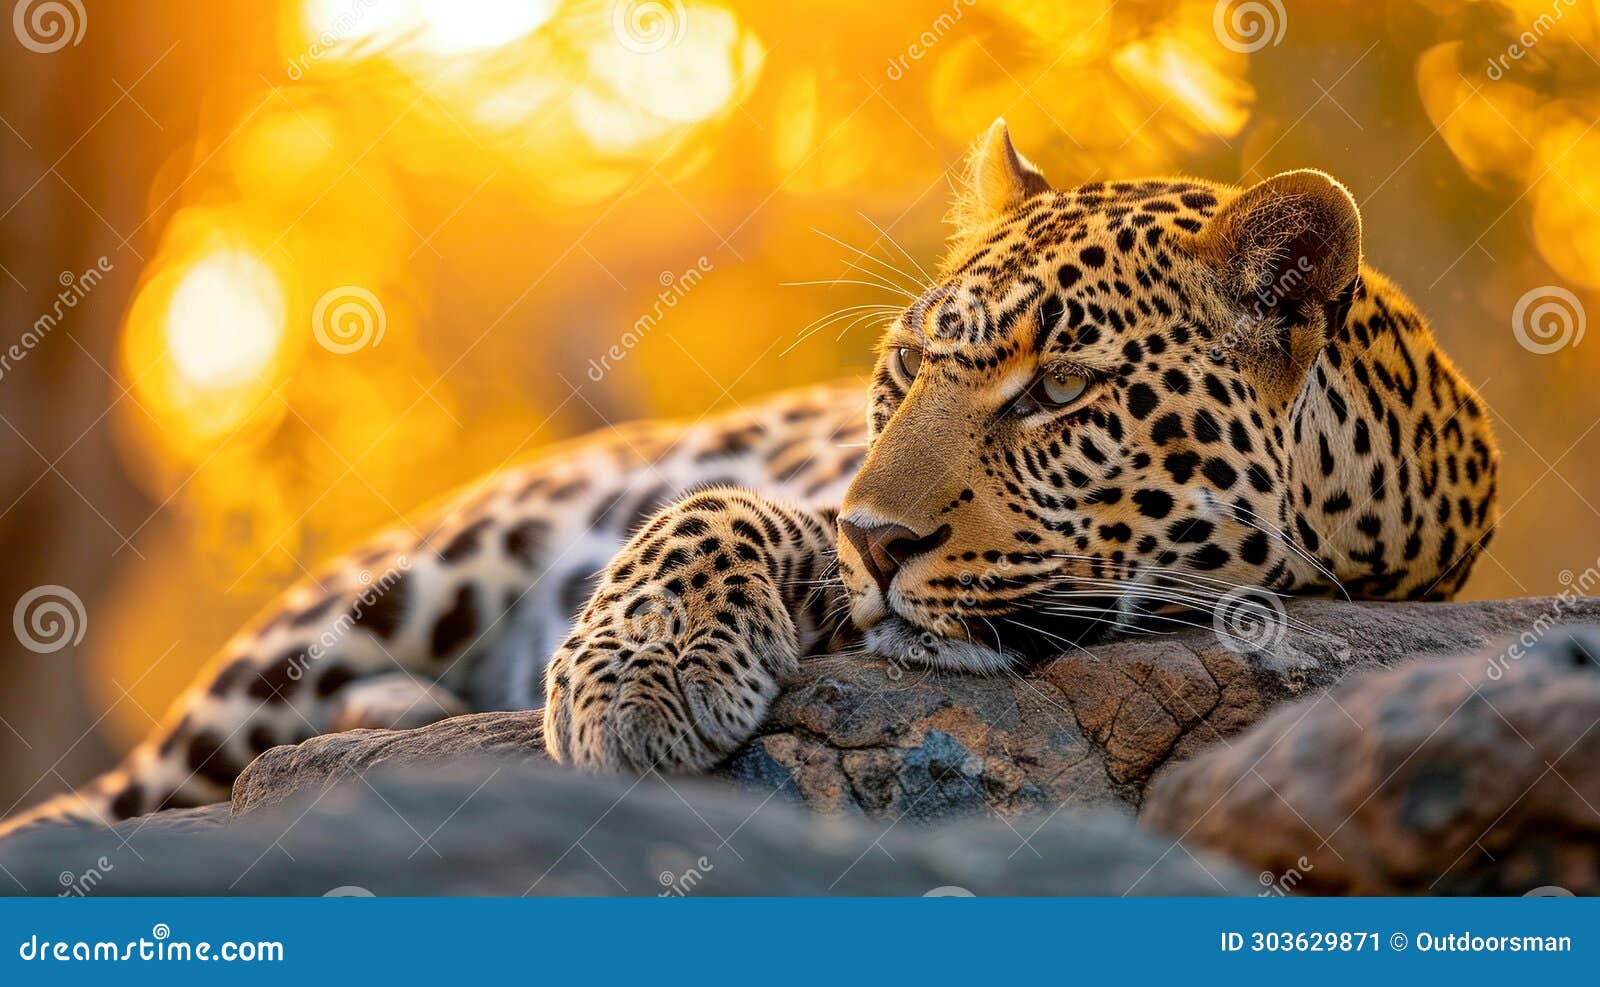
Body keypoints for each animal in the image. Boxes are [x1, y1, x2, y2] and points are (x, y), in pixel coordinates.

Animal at [0, 120, 1498, 834]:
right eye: (905, 369)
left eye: (1060, 389)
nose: (876, 538)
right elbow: (716, 506)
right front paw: (642, 679)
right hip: (381, 590)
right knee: (108, 800)